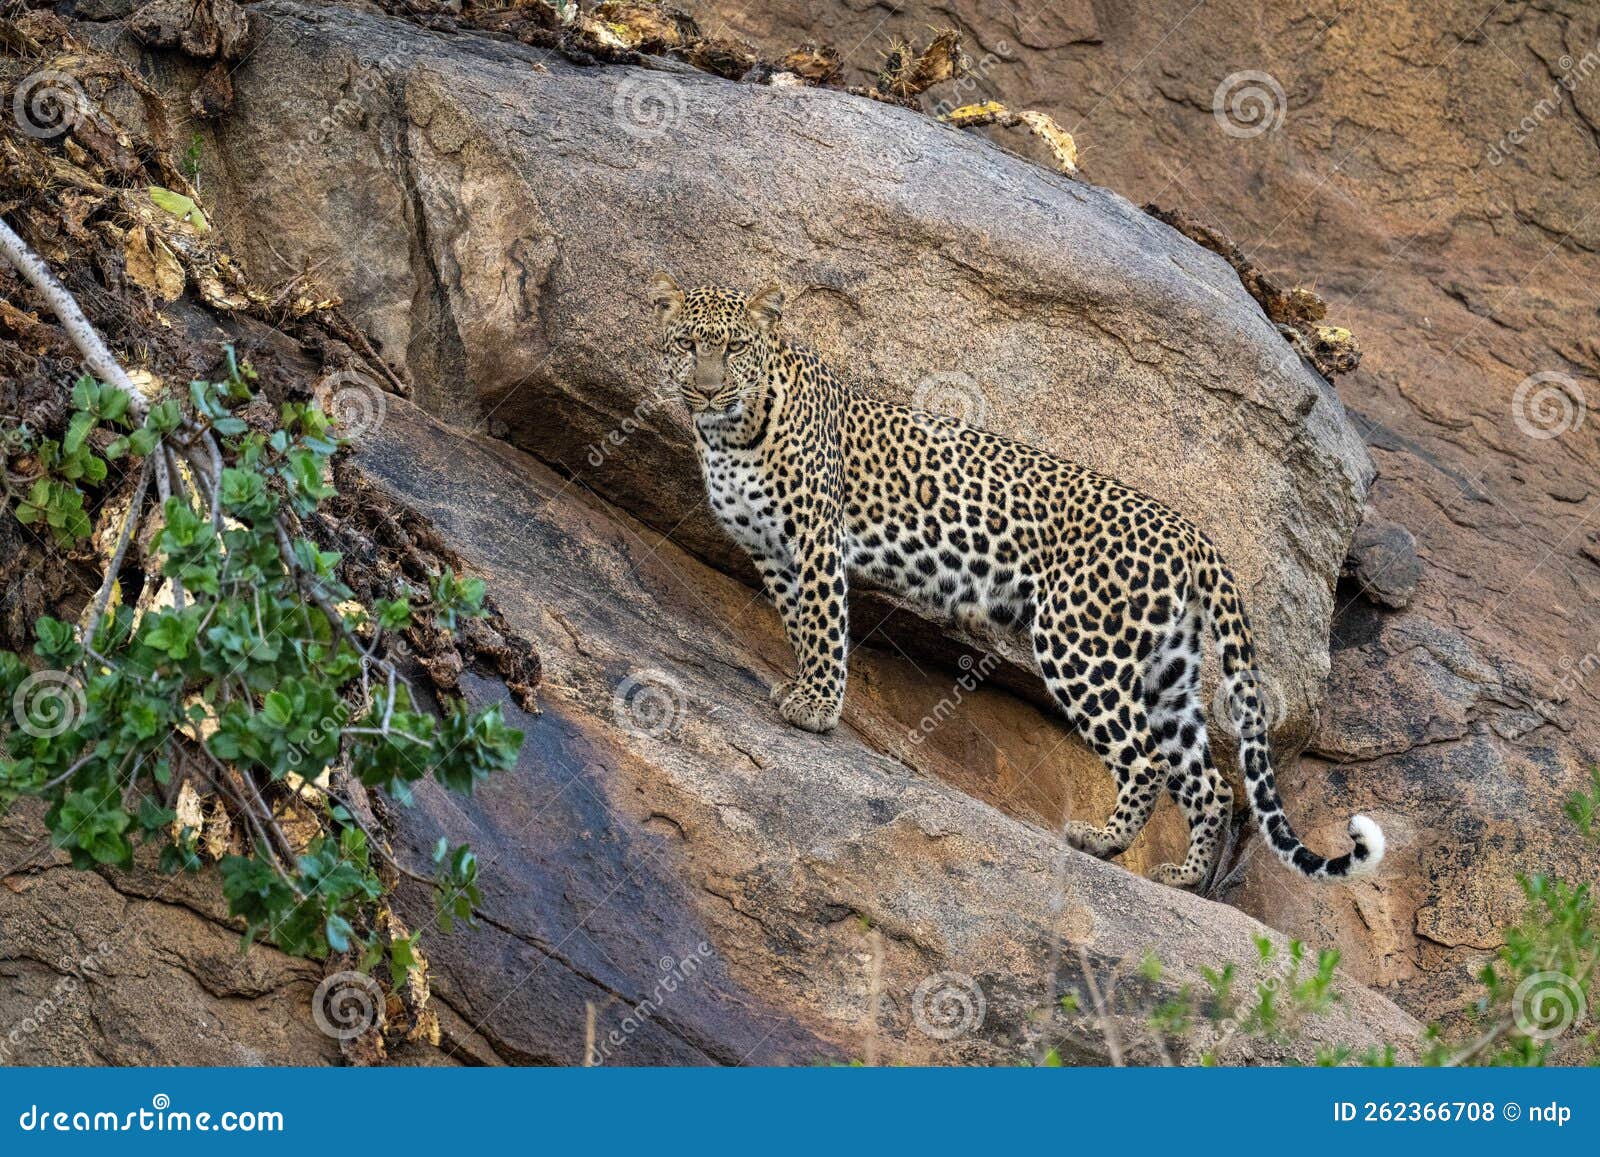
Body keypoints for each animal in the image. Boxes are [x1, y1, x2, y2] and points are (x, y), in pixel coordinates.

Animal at [648, 272, 1385, 889]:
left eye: (735, 346)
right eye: (686, 343)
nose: (707, 388)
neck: (730, 433)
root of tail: (1192, 533)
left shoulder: (816, 542)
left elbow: (826, 629)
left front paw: (817, 711)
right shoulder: (772, 554)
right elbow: (801, 627)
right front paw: (801, 689)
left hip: (1080, 644)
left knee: (1145, 759)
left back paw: (1102, 842)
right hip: (1167, 670)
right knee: (1210, 781)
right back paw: (1181, 877)